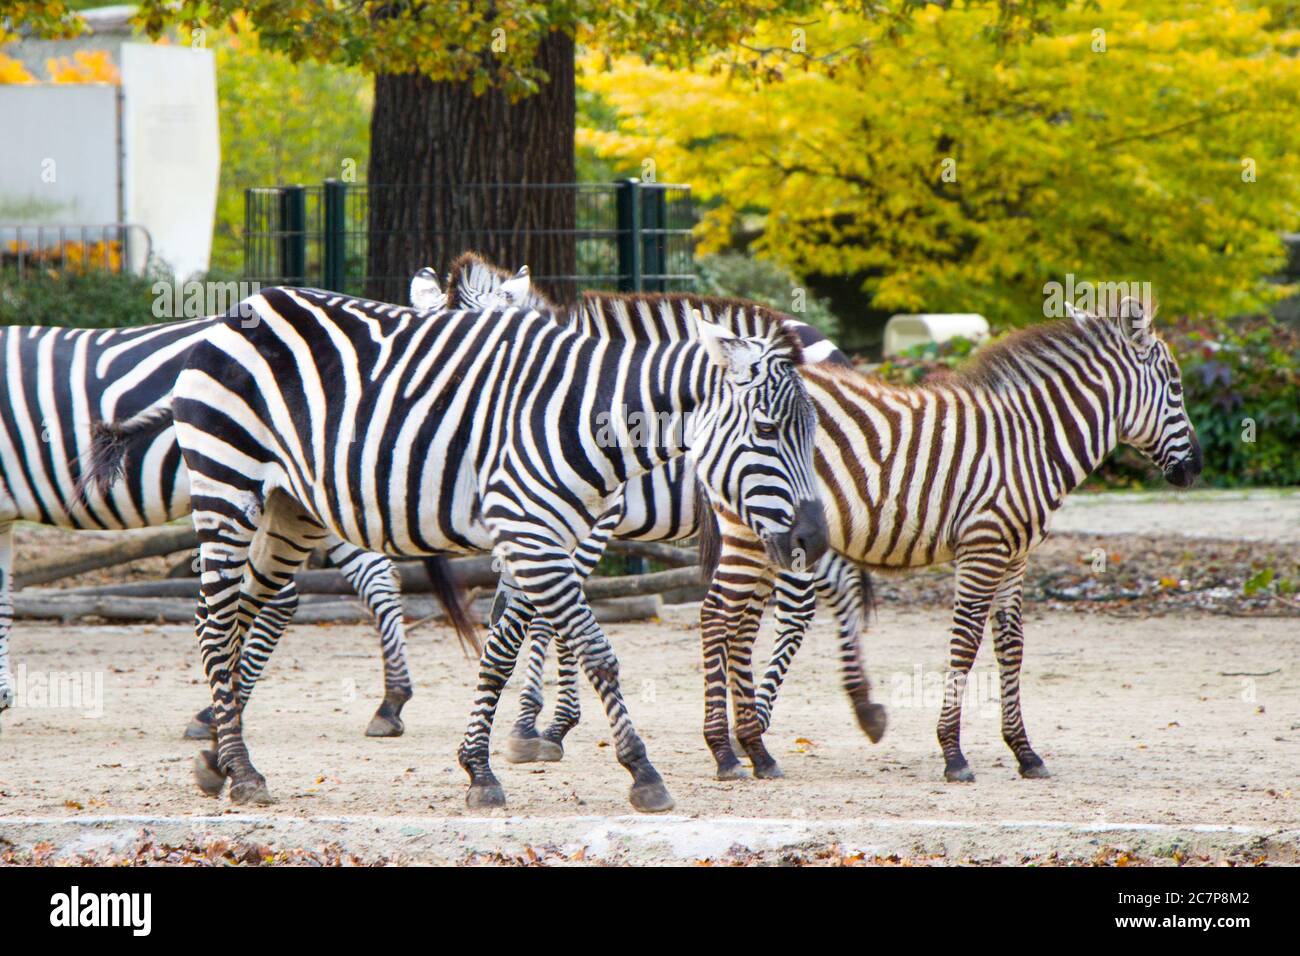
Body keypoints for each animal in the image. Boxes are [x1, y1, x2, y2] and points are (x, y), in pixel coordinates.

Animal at [85, 286, 829, 813]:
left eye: (814, 432)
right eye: (767, 430)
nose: (814, 538)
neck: (586, 422)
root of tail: (238, 310)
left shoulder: (544, 534)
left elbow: (503, 651)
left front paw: (480, 767)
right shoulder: (531, 530)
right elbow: (596, 651)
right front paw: (642, 772)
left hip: (289, 508)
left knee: (248, 616)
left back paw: (219, 757)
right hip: (226, 486)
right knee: (214, 622)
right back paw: (241, 770)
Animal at [432, 254, 885, 780]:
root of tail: (823, 341)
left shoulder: (594, 519)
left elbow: (541, 617)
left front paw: (537, 726)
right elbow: (522, 614)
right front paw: (536, 724)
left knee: (802, 605)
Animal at [700, 297, 1202, 781]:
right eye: (1176, 387)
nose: (1196, 467)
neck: (1030, 442)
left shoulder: (1015, 555)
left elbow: (1011, 645)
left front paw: (1024, 752)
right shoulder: (984, 547)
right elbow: (965, 642)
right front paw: (953, 752)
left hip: (769, 535)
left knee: (740, 626)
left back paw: (755, 749)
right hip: (754, 530)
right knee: (716, 617)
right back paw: (726, 752)